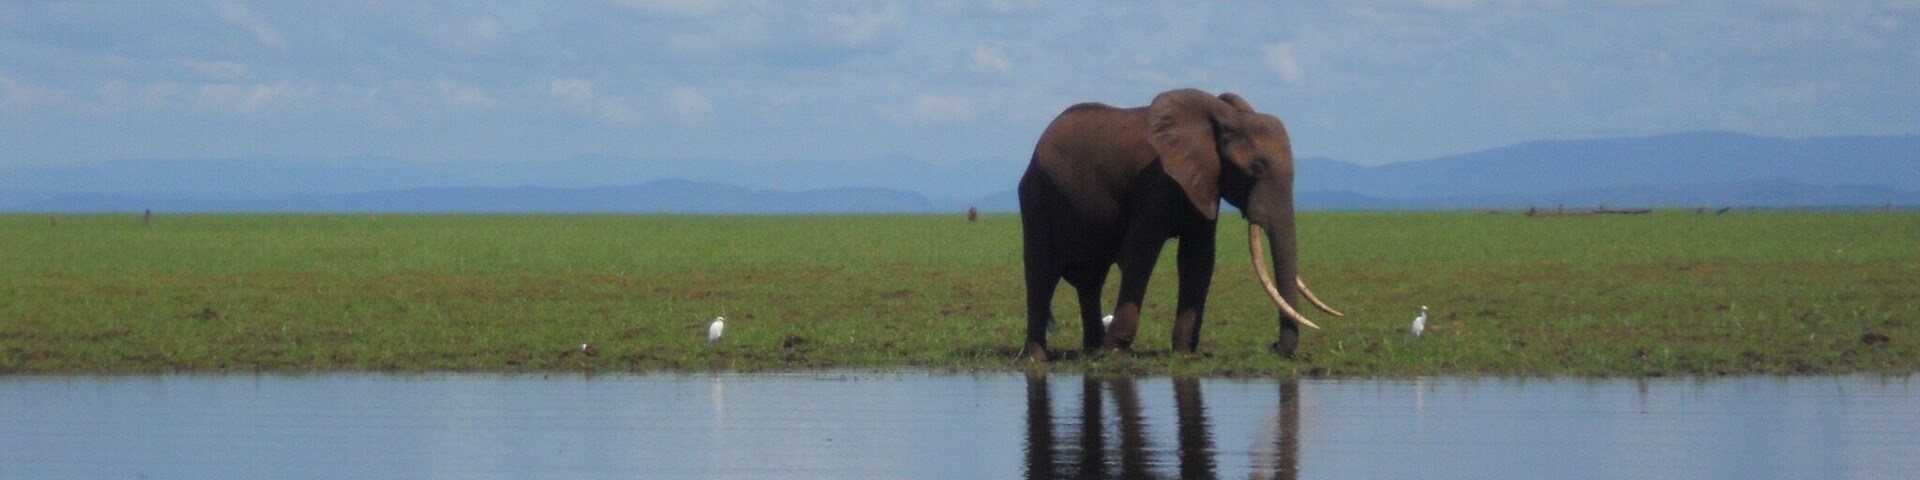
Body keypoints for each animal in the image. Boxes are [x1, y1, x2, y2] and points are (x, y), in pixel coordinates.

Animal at [1017, 88, 1342, 360]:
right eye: (1257, 168)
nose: (1273, 347)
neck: (1222, 119)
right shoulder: (1157, 180)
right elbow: (1139, 254)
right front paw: (1116, 352)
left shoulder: (1203, 181)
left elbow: (1198, 258)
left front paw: (1184, 353)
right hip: (1037, 197)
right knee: (1041, 272)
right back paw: (1039, 358)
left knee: (1091, 280)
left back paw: (1091, 350)